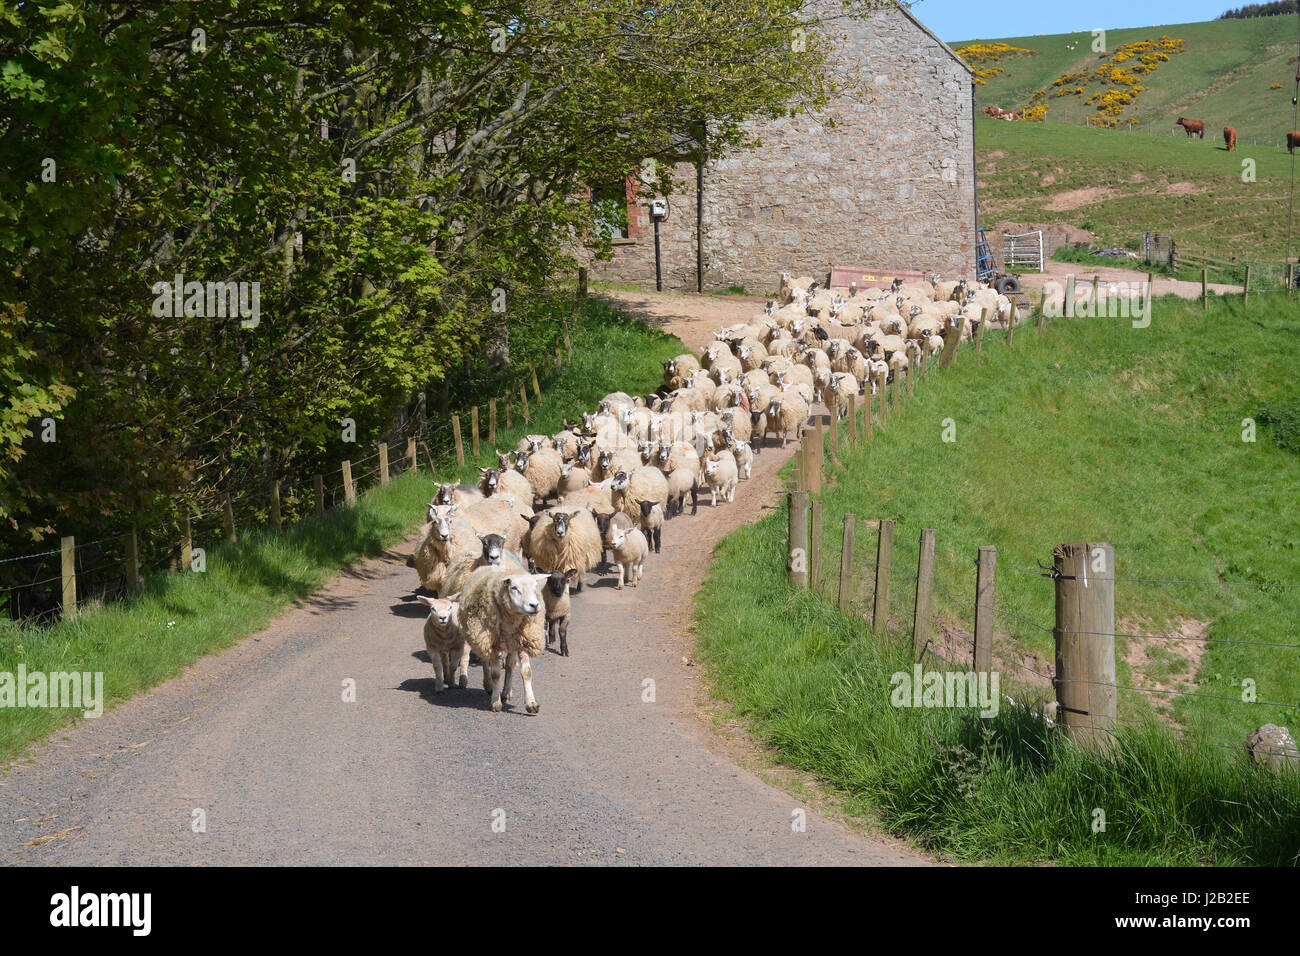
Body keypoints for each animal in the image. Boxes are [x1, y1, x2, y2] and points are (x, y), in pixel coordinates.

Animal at [459, 566, 545, 713]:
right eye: (514, 588)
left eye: (535, 587)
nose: (534, 605)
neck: (512, 621)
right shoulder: (492, 644)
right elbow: (495, 674)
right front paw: (495, 702)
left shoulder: (523, 641)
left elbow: (527, 672)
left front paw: (531, 703)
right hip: (481, 639)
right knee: (484, 661)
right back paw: (488, 685)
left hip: (512, 644)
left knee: (510, 665)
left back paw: (506, 692)